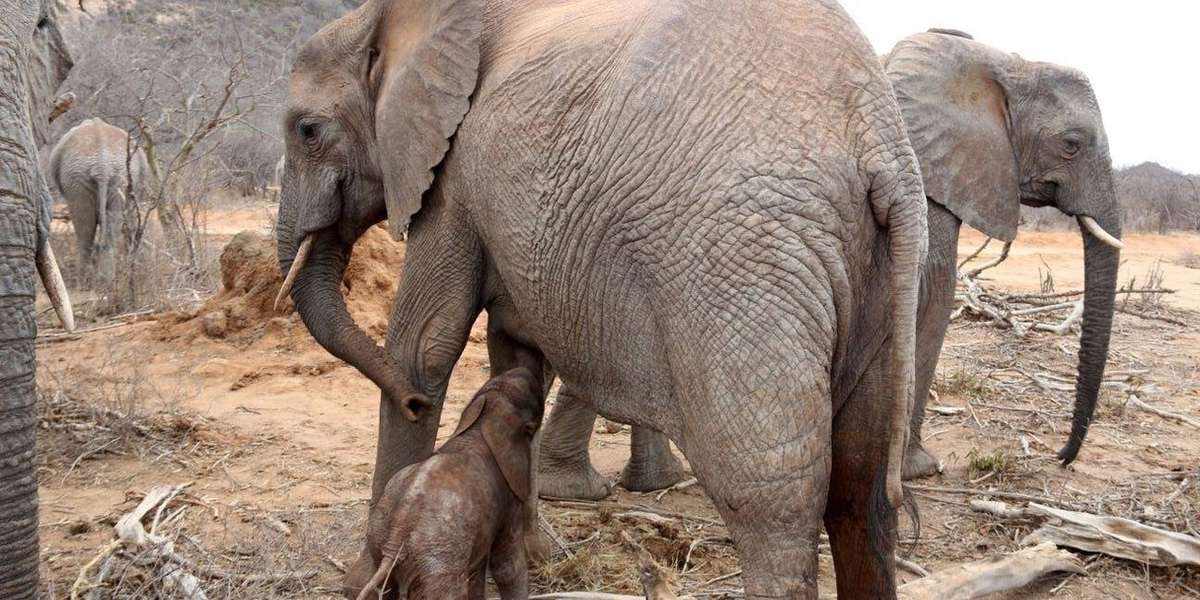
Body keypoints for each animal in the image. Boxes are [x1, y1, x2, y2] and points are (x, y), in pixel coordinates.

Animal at [47, 117, 152, 293]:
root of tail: (102, 166)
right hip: (112, 178)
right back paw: (106, 284)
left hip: (81, 179)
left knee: (85, 232)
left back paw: (86, 285)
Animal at [345, 368, 542, 600]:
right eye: (536, 395)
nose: (526, 369)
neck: (488, 412)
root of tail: (397, 534)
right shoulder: (510, 497)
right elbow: (507, 564)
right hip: (438, 559)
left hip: (380, 540)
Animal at [539, 28, 1126, 487]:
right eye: (1072, 144)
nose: (1063, 458)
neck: (1000, 62)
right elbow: (932, 291)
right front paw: (919, 470)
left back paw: (639, 485)